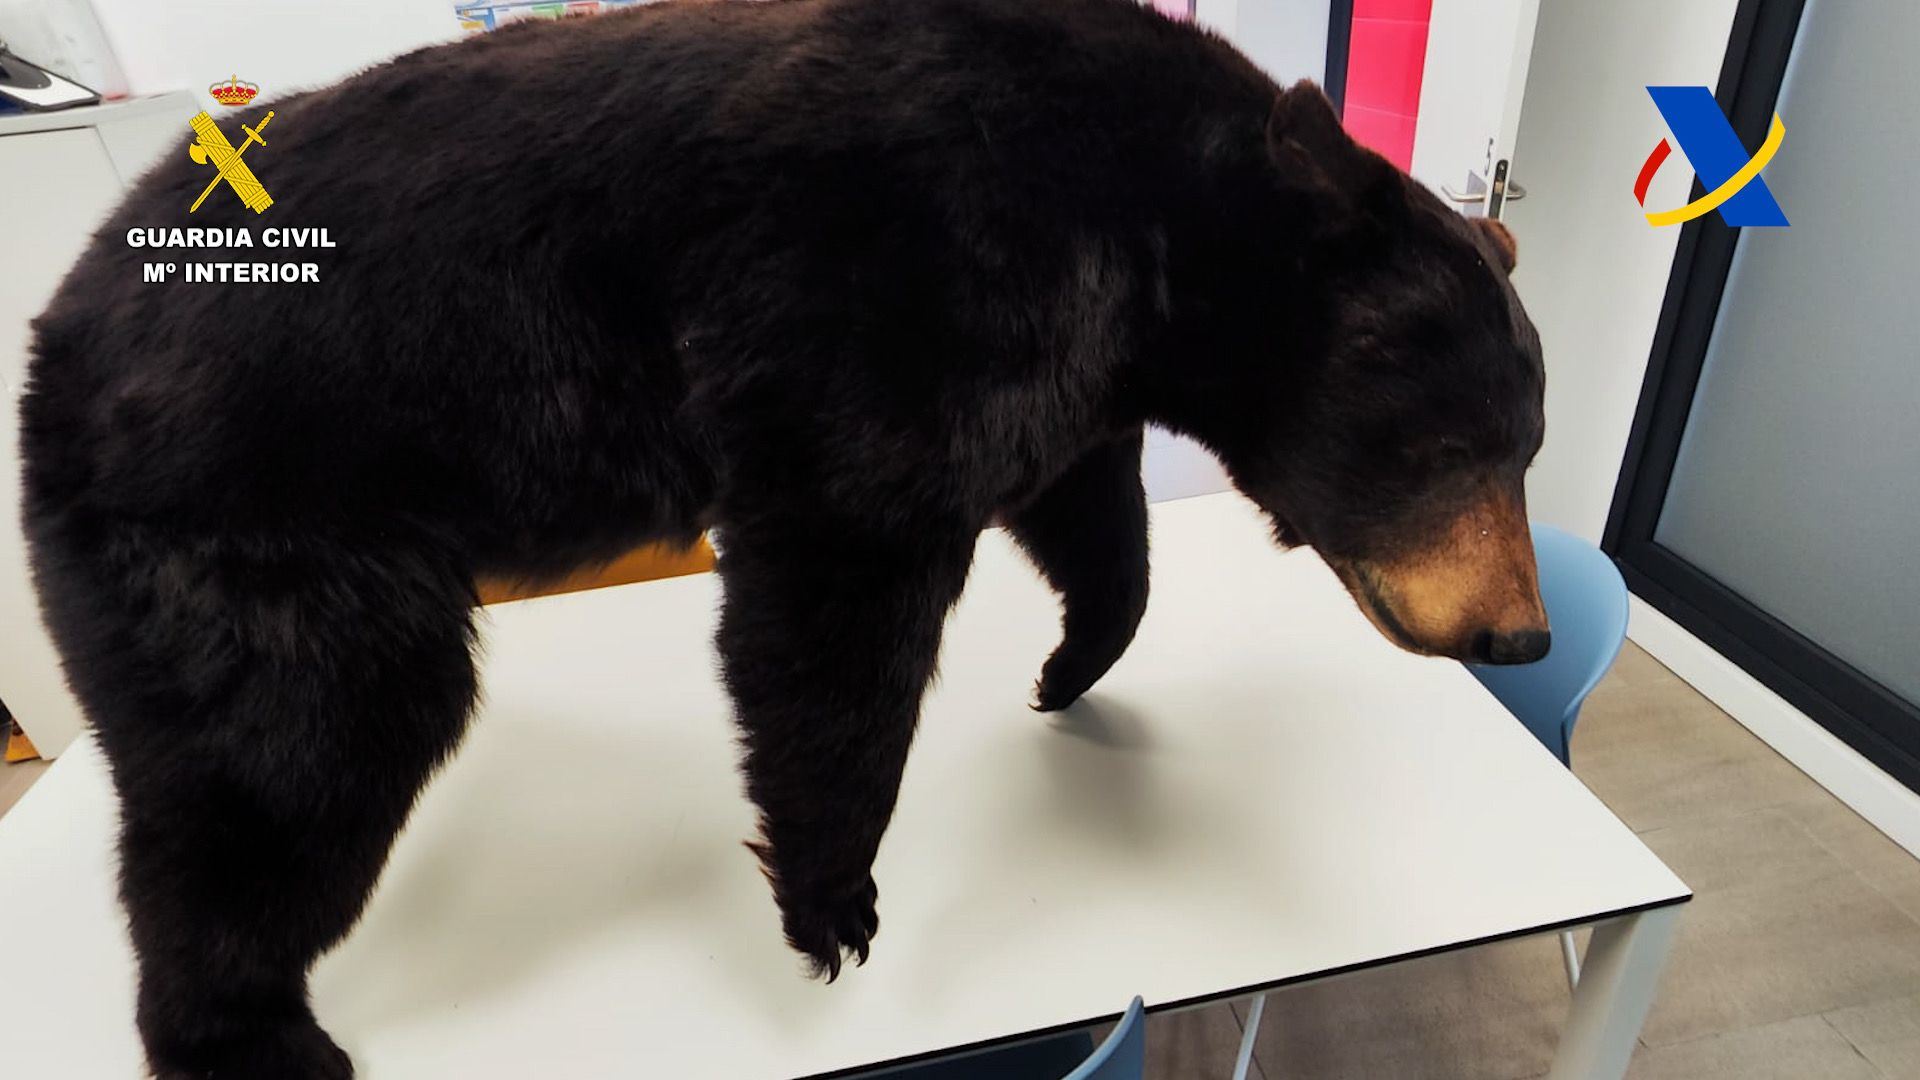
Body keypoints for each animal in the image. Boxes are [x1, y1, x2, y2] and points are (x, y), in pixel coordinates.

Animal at [17, 0, 1548, 1076]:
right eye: (1450, 446)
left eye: (1525, 448)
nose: (1522, 633)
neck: (1164, 230)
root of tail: (58, 325)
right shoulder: (910, 281)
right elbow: (840, 579)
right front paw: (831, 900)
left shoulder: (1076, 353)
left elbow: (1086, 514)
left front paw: (1069, 666)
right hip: (249, 513)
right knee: (288, 752)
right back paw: (250, 1033)